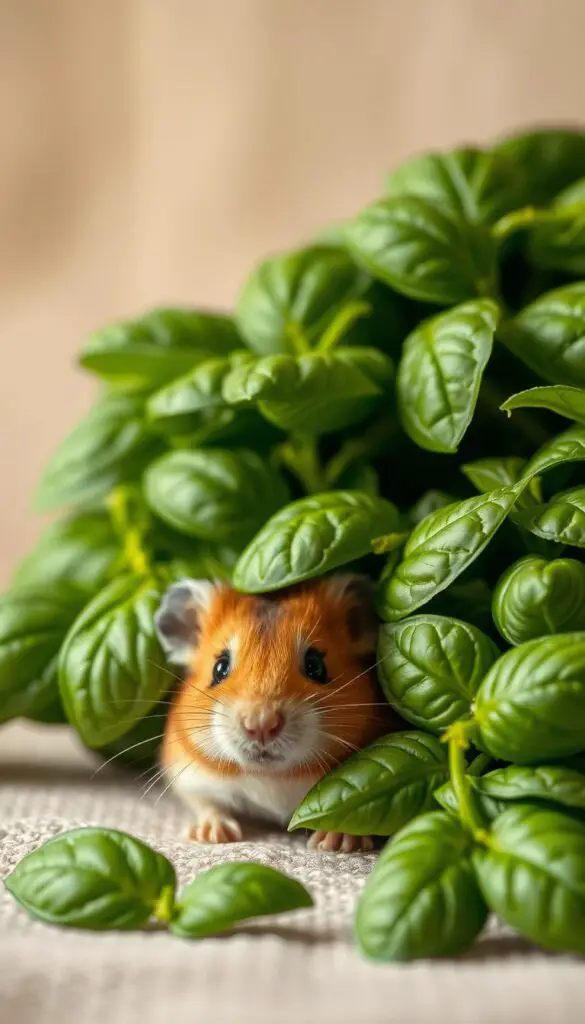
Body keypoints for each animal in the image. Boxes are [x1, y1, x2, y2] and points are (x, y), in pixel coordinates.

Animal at [155, 574, 397, 852]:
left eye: (316, 666)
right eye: (220, 668)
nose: (261, 724)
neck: (270, 776)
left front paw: (336, 844)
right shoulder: (188, 772)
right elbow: (207, 804)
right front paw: (211, 835)